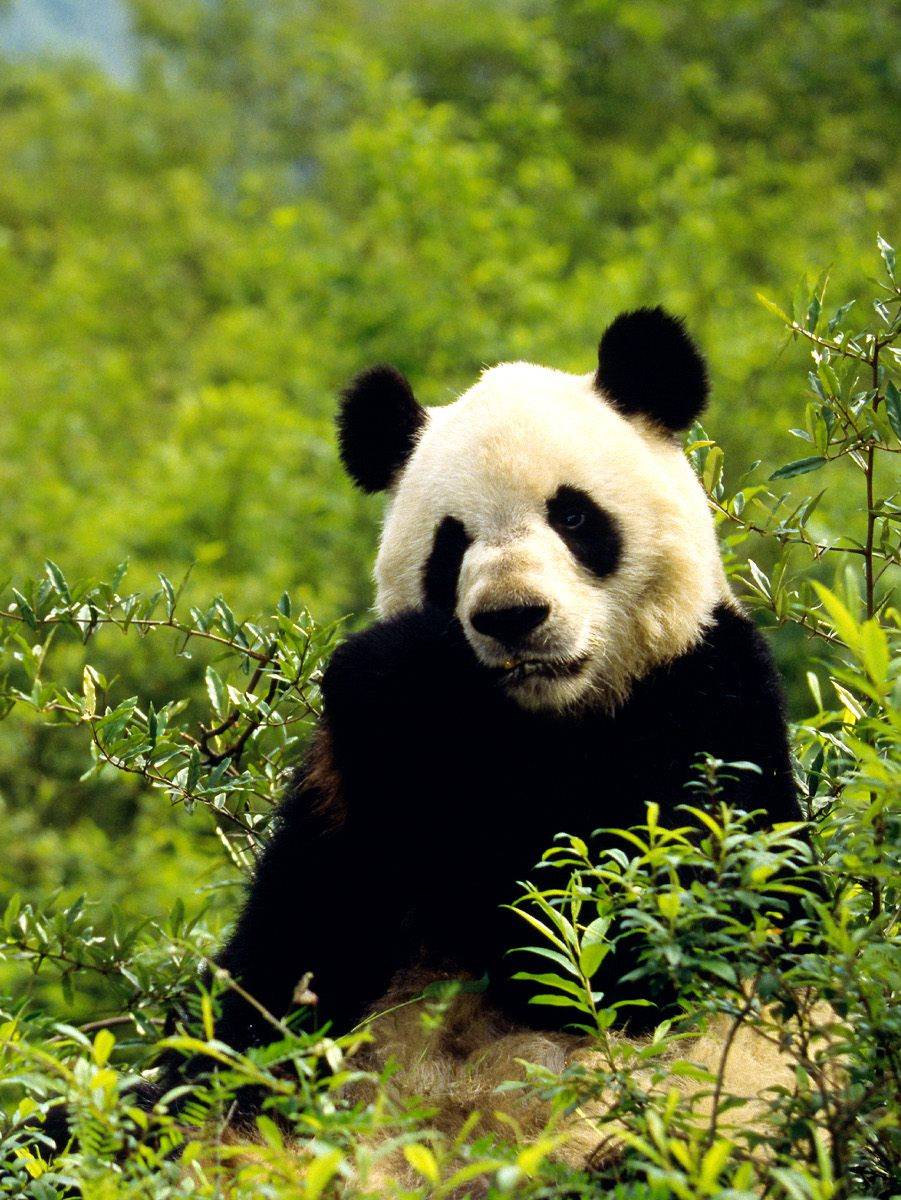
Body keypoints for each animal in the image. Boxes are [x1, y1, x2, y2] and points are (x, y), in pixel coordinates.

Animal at [195, 308, 799, 1161]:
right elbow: (282, 970)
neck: (538, 718)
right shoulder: (347, 809)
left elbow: (627, 939)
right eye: (451, 542)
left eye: (572, 515)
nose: (511, 617)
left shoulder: (707, 700)